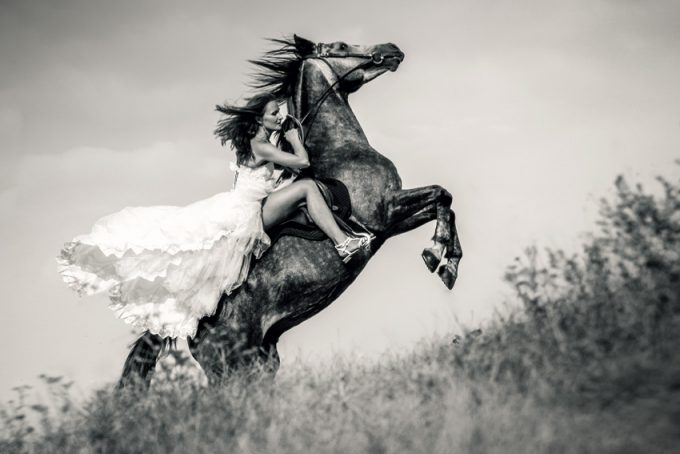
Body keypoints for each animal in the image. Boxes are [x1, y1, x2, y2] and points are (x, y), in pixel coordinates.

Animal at [118, 35, 462, 387]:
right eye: (341, 46)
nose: (391, 49)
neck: (341, 149)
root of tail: (187, 321)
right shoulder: (385, 210)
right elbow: (441, 195)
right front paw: (435, 255)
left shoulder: (392, 221)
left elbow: (445, 204)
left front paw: (448, 264)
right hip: (234, 366)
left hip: (264, 359)